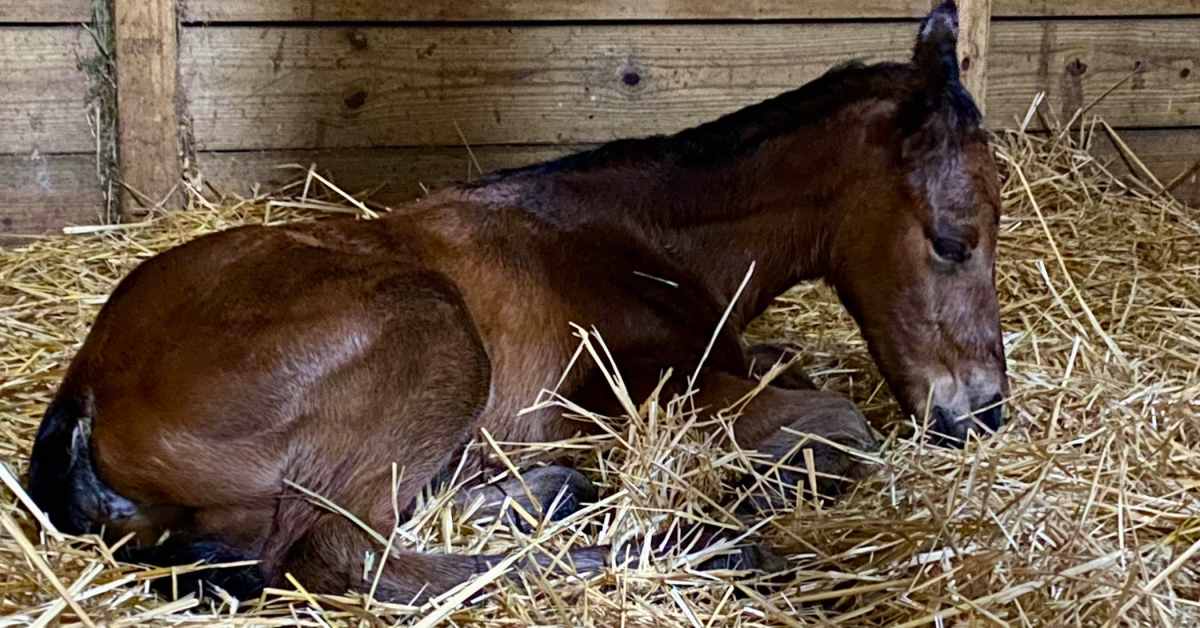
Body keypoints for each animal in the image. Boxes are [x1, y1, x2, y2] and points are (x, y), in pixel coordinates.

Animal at [28, 1, 1005, 604]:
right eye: (953, 239)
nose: (984, 413)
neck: (644, 240)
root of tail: (88, 383)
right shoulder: (653, 396)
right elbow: (843, 422)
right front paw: (751, 494)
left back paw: (557, 489)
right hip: (432, 332)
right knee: (343, 554)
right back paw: (705, 544)